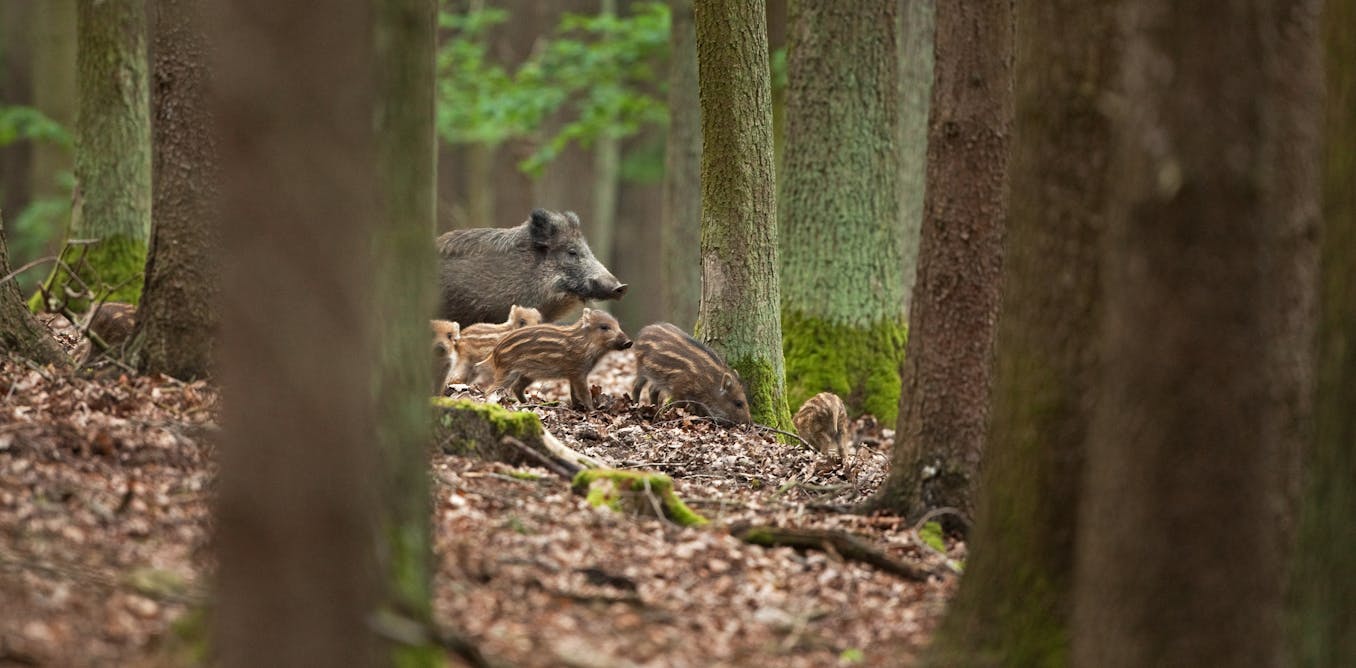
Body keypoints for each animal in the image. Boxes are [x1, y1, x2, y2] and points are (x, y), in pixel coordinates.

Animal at [486, 308, 633, 411]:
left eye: (617, 325)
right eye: (604, 327)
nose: (629, 342)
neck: (585, 344)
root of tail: (495, 351)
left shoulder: (573, 375)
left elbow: (574, 393)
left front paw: (577, 408)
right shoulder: (578, 372)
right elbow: (584, 393)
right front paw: (592, 410)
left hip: (528, 374)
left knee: (516, 387)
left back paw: (528, 404)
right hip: (507, 371)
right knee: (490, 389)